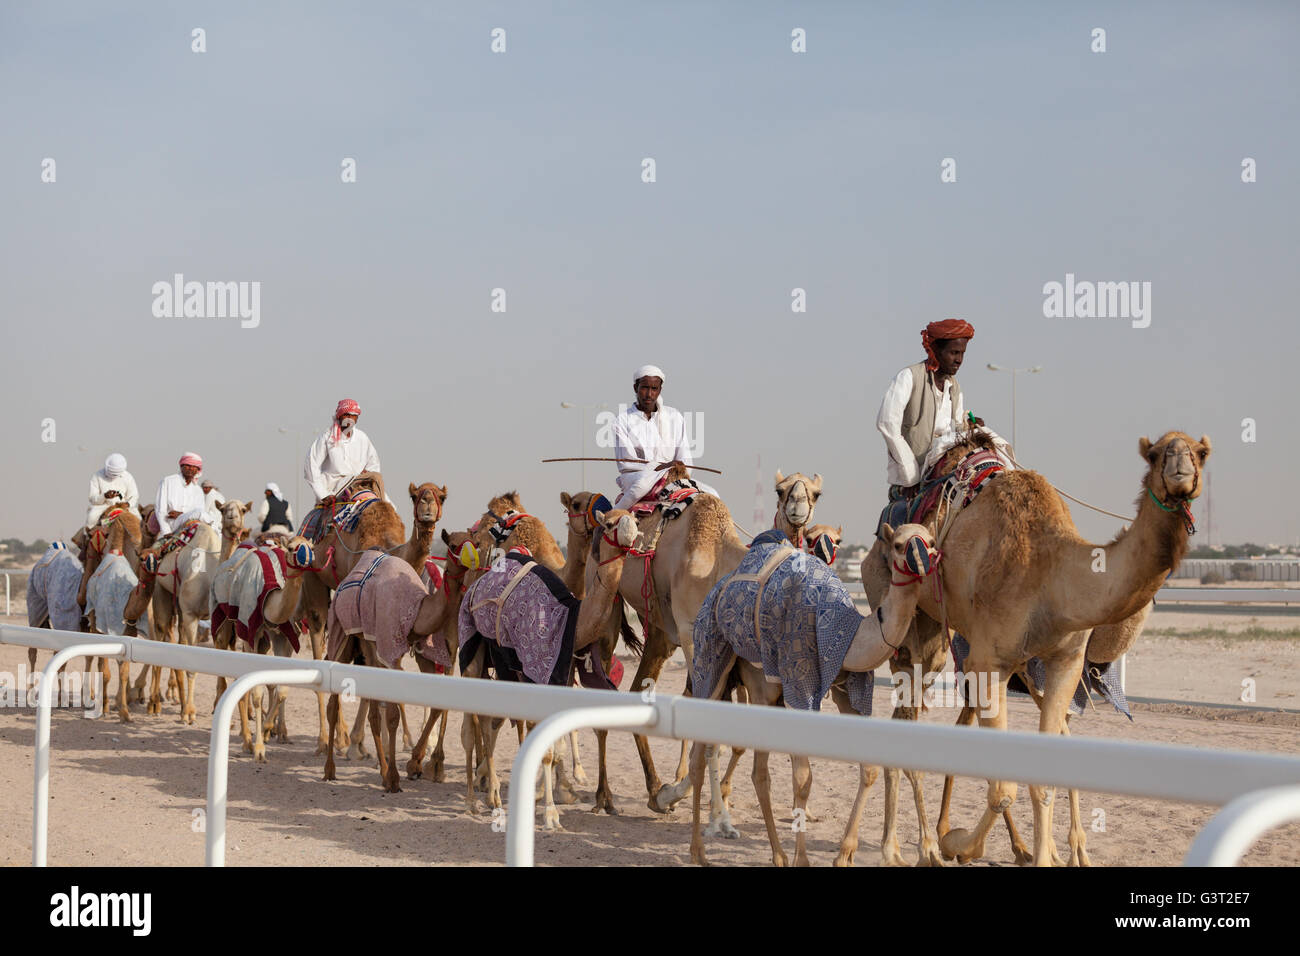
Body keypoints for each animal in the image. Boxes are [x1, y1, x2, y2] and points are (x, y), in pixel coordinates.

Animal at [322, 549, 458, 792]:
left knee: (373, 711)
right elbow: (392, 713)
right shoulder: (388, 646)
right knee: (333, 704)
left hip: (367, 643)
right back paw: (330, 769)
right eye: (454, 548)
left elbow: (434, 703)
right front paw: (395, 777)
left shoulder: (420, 649)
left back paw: (382, 768)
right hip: (342, 634)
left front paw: (414, 765)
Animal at [685, 522, 931, 866]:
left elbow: (868, 769)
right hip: (711, 657)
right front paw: (803, 858)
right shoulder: (799, 683)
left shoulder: (846, 687)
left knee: (759, 774)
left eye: (931, 542)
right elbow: (803, 780)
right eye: (897, 544)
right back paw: (699, 850)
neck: (850, 634)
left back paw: (776, 855)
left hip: (761, 690)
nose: (922, 562)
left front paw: (845, 853)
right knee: (701, 756)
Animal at [901, 431, 1210, 867]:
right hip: (924, 623)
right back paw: (927, 843)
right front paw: (960, 844)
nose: (1180, 467)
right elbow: (1003, 789)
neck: (1051, 571)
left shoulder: (1063, 661)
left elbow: (1044, 776)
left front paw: (1052, 854)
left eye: (1202, 452)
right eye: (1153, 454)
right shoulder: (991, 660)